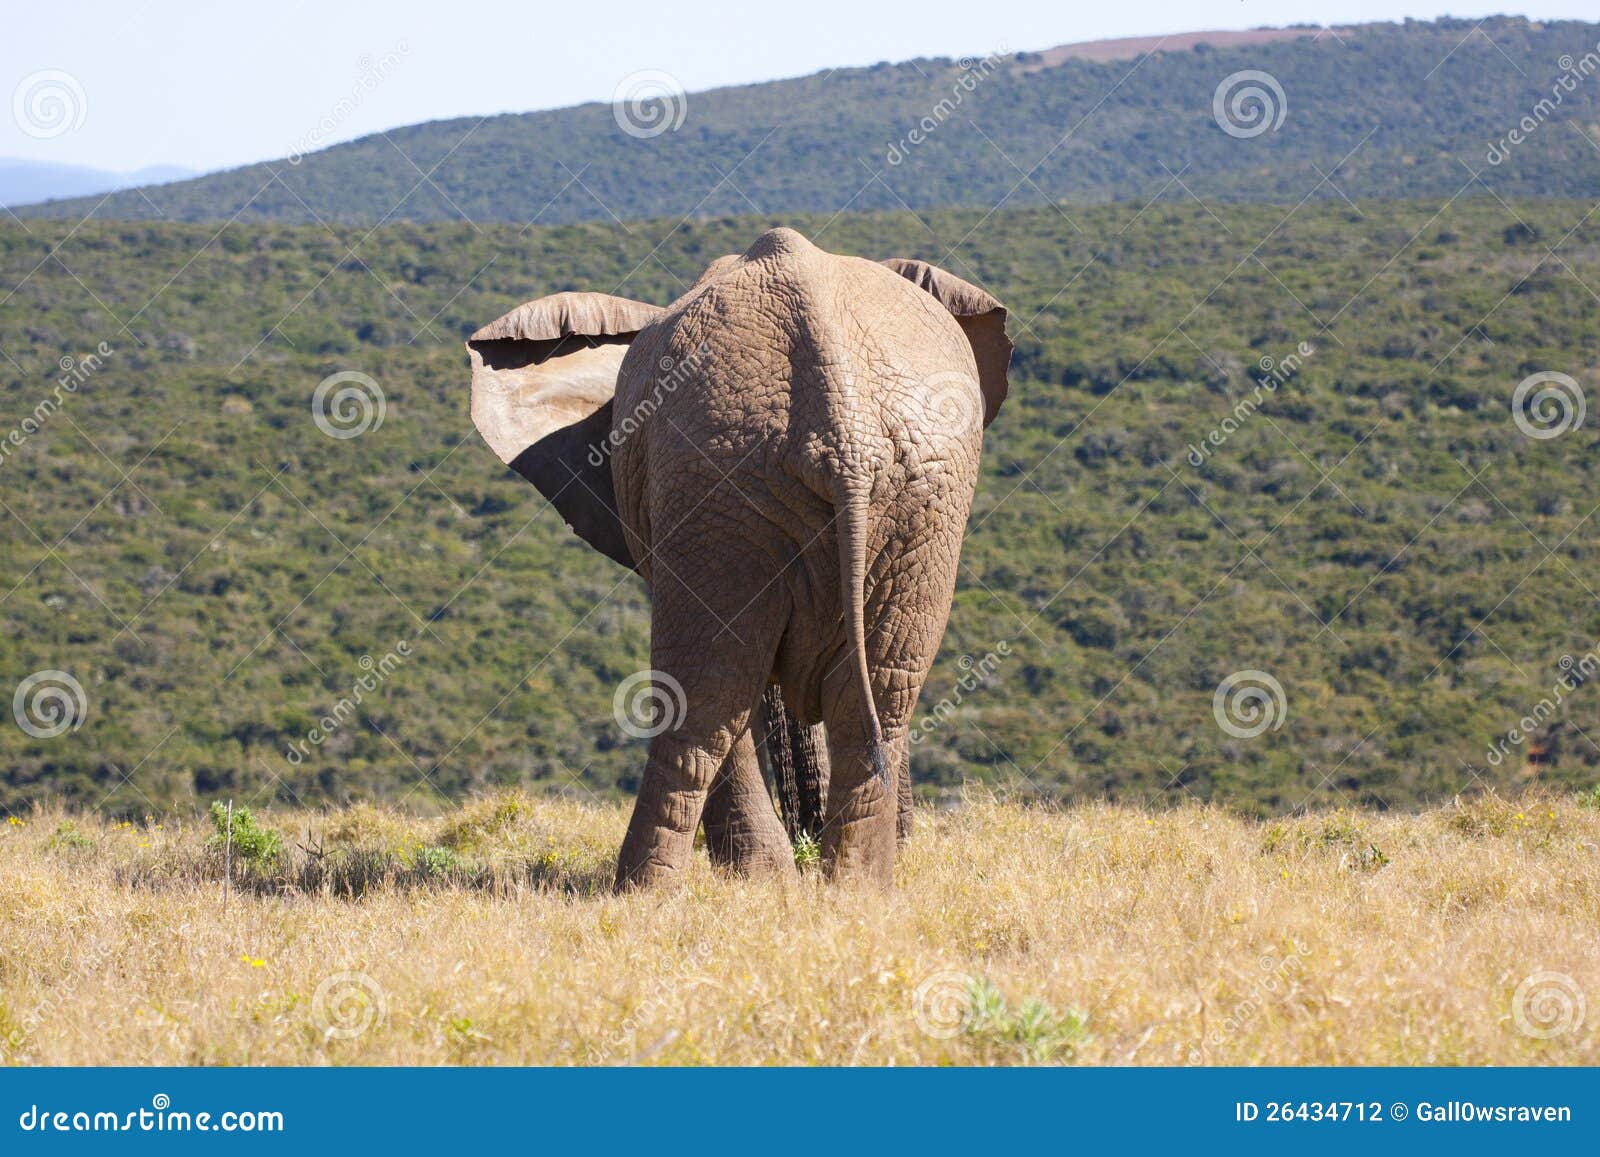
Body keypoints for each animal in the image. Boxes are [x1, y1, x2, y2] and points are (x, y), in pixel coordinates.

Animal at [467, 227, 1011, 888]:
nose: (805, 835)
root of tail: (843, 427)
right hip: (845, 488)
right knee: (869, 690)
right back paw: (846, 888)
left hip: (775, 480)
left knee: (716, 693)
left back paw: (647, 895)